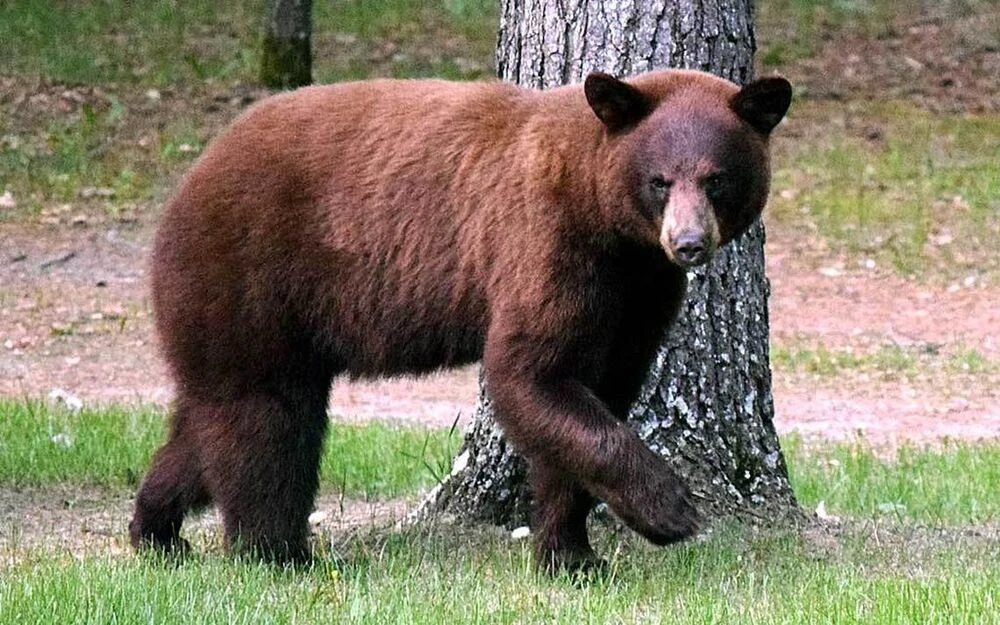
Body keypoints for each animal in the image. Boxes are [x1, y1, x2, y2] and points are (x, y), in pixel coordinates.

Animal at [130, 68, 792, 573]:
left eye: (716, 179)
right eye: (660, 180)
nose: (688, 244)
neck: (607, 224)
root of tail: (189, 180)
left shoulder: (639, 293)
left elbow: (595, 394)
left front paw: (572, 556)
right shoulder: (546, 245)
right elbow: (532, 373)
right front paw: (670, 510)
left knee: (207, 423)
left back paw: (157, 530)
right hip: (248, 280)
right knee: (264, 419)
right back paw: (276, 553)